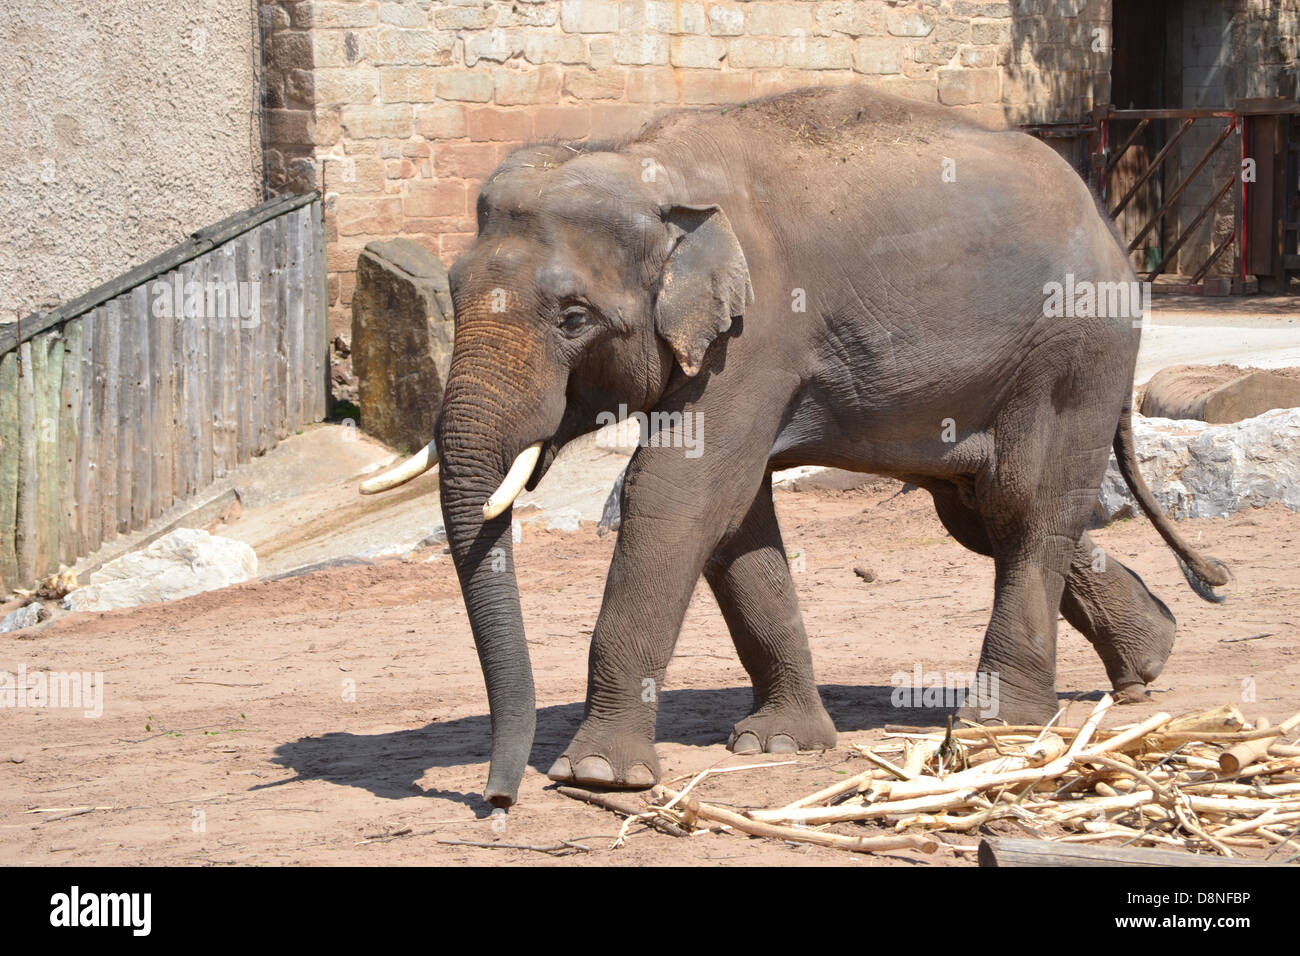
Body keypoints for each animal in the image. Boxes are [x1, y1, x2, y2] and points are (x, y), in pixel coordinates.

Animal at [360, 85, 1229, 808]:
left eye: (574, 318)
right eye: (452, 290)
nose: (497, 800)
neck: (645, 157)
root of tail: (1112, 233)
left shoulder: (758, 331)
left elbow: (677, 496)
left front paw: (597, 775)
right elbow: (735, 520)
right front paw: (780, 745)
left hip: (1074, 352)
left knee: (1025, 504)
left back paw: (997, 728)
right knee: (983, 512)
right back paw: (1149, 660)